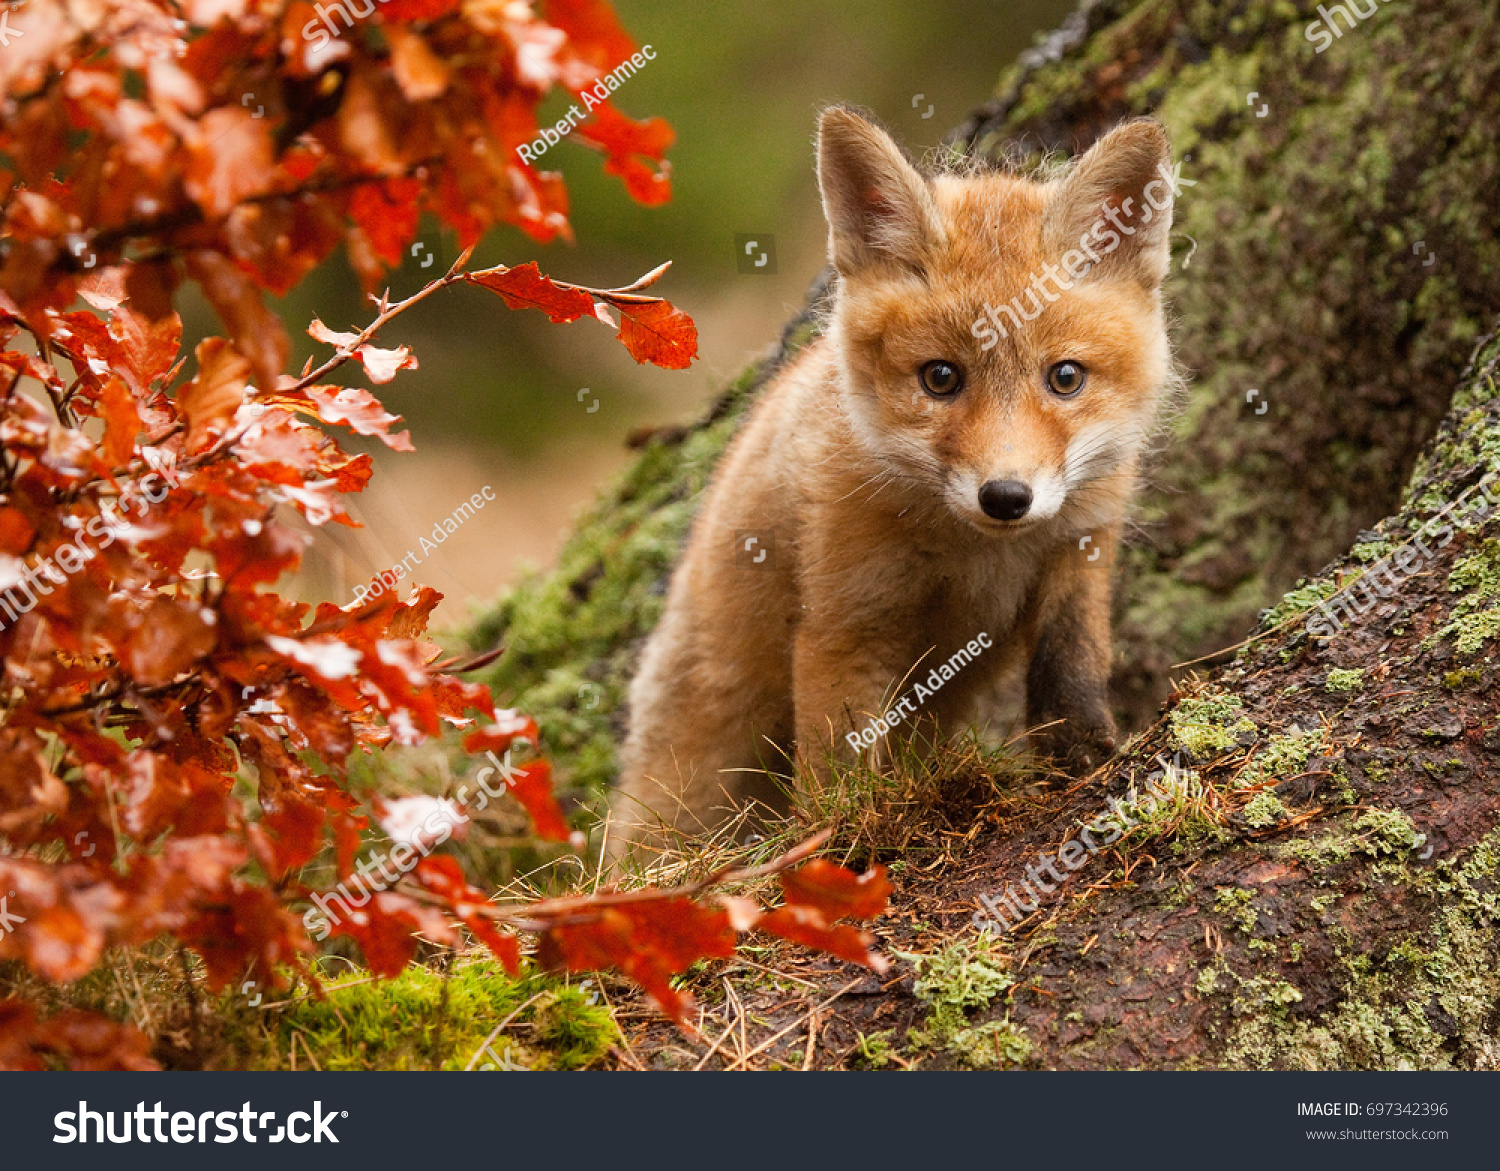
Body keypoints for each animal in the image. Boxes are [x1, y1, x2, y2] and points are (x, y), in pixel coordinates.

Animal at [608, 106, 1179, 861]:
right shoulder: (846, 619)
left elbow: (1073, 665)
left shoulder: (1080, 550)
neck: (978, 554)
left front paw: (1085, 757)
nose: (1006, 497)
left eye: (1065, 377)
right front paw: (844, 839)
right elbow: (839, 757)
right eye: (940, 378)